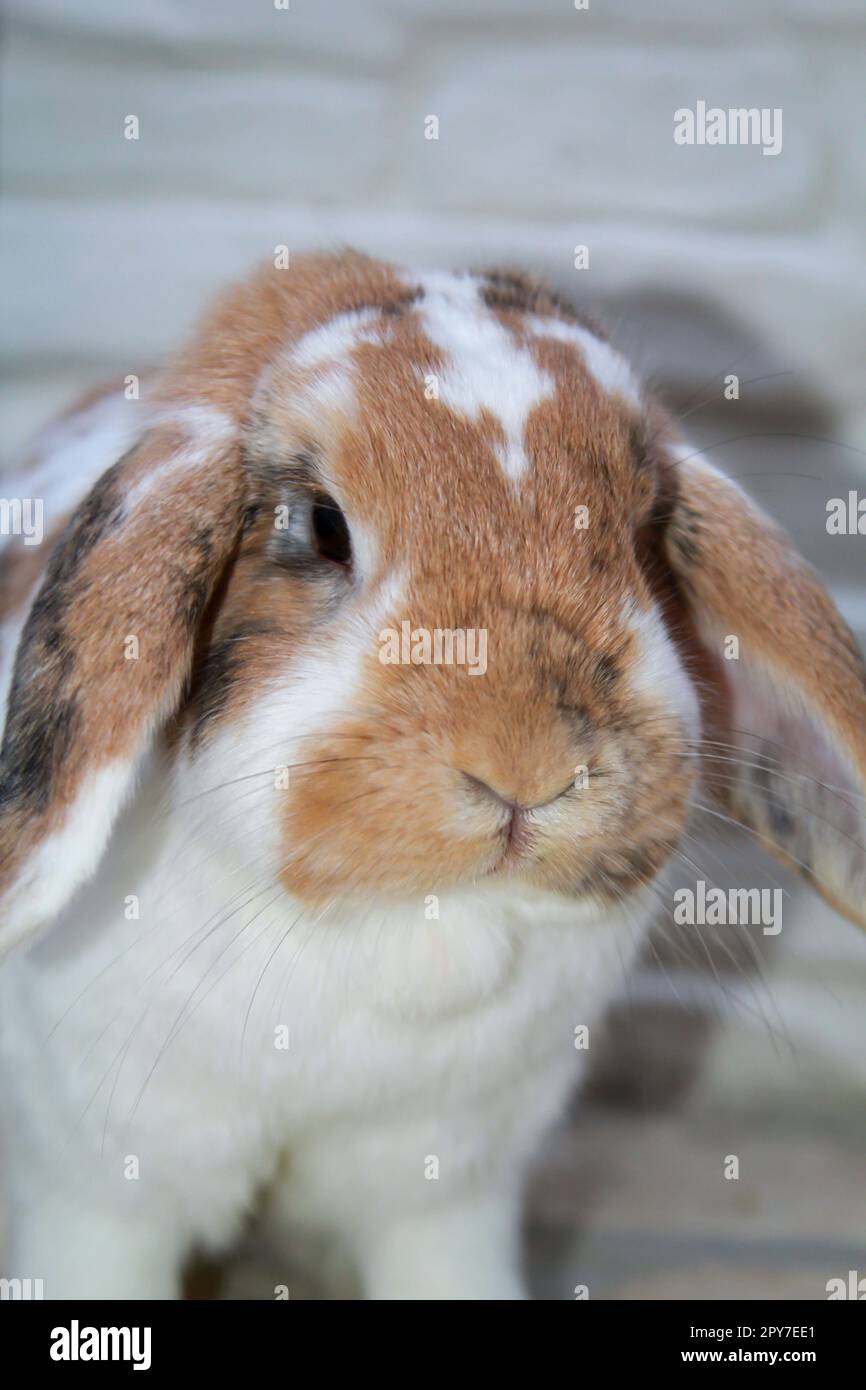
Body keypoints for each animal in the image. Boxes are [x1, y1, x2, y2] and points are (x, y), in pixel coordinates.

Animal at [0, 250, 864, 1301]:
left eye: (644, 533)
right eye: (324, 527)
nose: (528, 762)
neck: (425, 927)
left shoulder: (447, 1192)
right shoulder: (101, 1185)